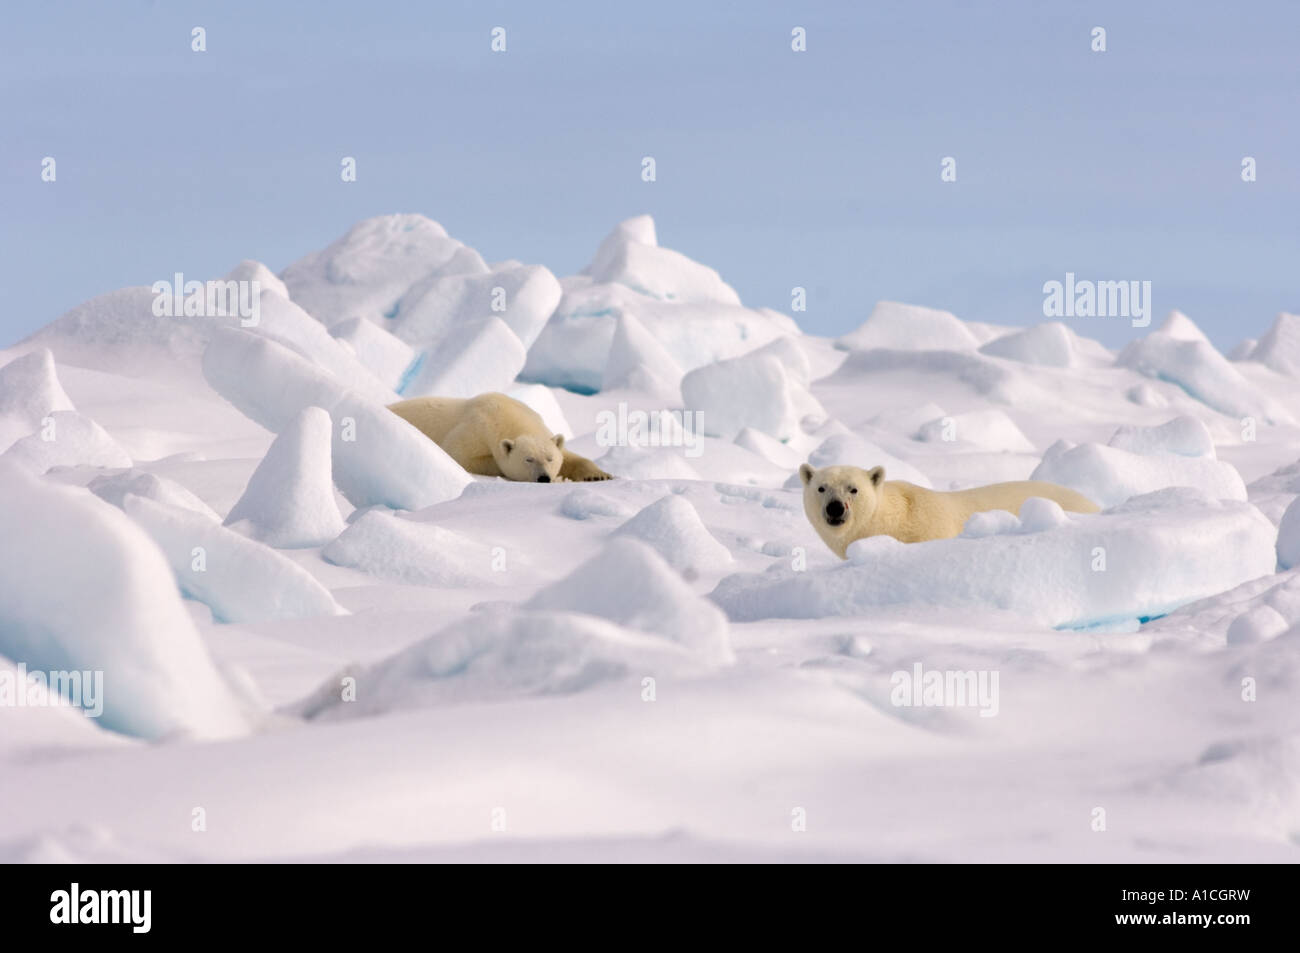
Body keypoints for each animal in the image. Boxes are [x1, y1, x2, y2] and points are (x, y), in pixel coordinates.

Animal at [388, 392, 613, 483]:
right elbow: (460, 455)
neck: (504, 413)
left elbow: (570, 456)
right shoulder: (474, 428)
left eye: (550, 459)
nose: (544, 478)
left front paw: (598, 475)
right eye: (528, 459)